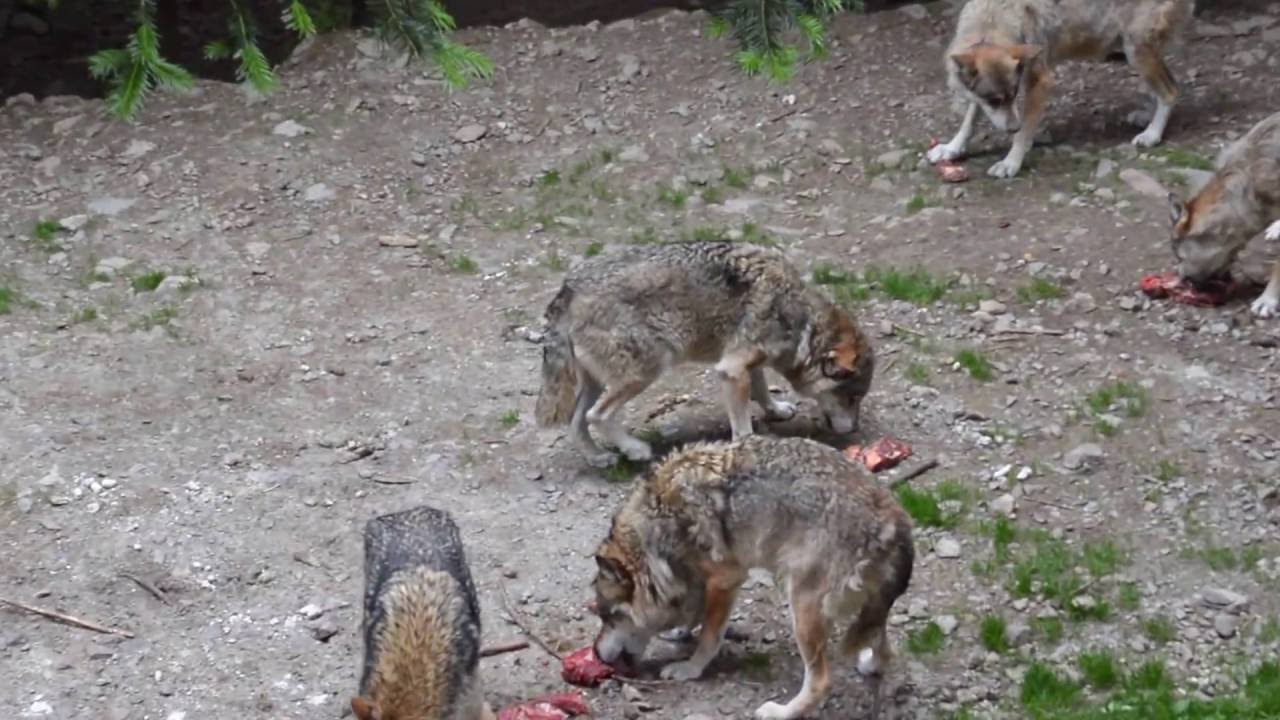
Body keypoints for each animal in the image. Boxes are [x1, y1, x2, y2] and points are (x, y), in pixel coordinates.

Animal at [535, 241, 875, 467]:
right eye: (852, 397)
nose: (855, 430)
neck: (802, 321)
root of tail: (569, 286)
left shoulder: (745, 363)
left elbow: (762, 390)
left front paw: (777, 410)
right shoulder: (731, 370)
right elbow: (743, 428)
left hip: (596, 382)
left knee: (577, 422)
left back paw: (598, 458)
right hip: (645, 372)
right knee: (597, 415)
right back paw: (635, 450)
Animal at [590, 435, 915, 720]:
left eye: (607, 616)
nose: (595, 653)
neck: (655, 534)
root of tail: (896, 520)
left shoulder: (725, 579)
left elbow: (709, 635)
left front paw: (690, 669)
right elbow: (695, 612)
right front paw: (680, 630)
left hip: (802, 607)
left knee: (822, 681)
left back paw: (780, 712)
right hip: (860, 608)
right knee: (884, 646)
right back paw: (871, 664)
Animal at [927, 0, 1193, 178]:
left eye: (1014, 95)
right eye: (995, 101)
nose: (1012, 128)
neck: (994, 20)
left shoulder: (1040, 82)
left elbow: (1024, 135)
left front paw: (1010, 163)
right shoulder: (980, 95)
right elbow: (968, 123)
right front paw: (951, 149)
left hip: (1136, 51)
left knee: (1171, 91)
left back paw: (1152, 135)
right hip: (1131, 53)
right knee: (1162, 89)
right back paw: (1146, 118)